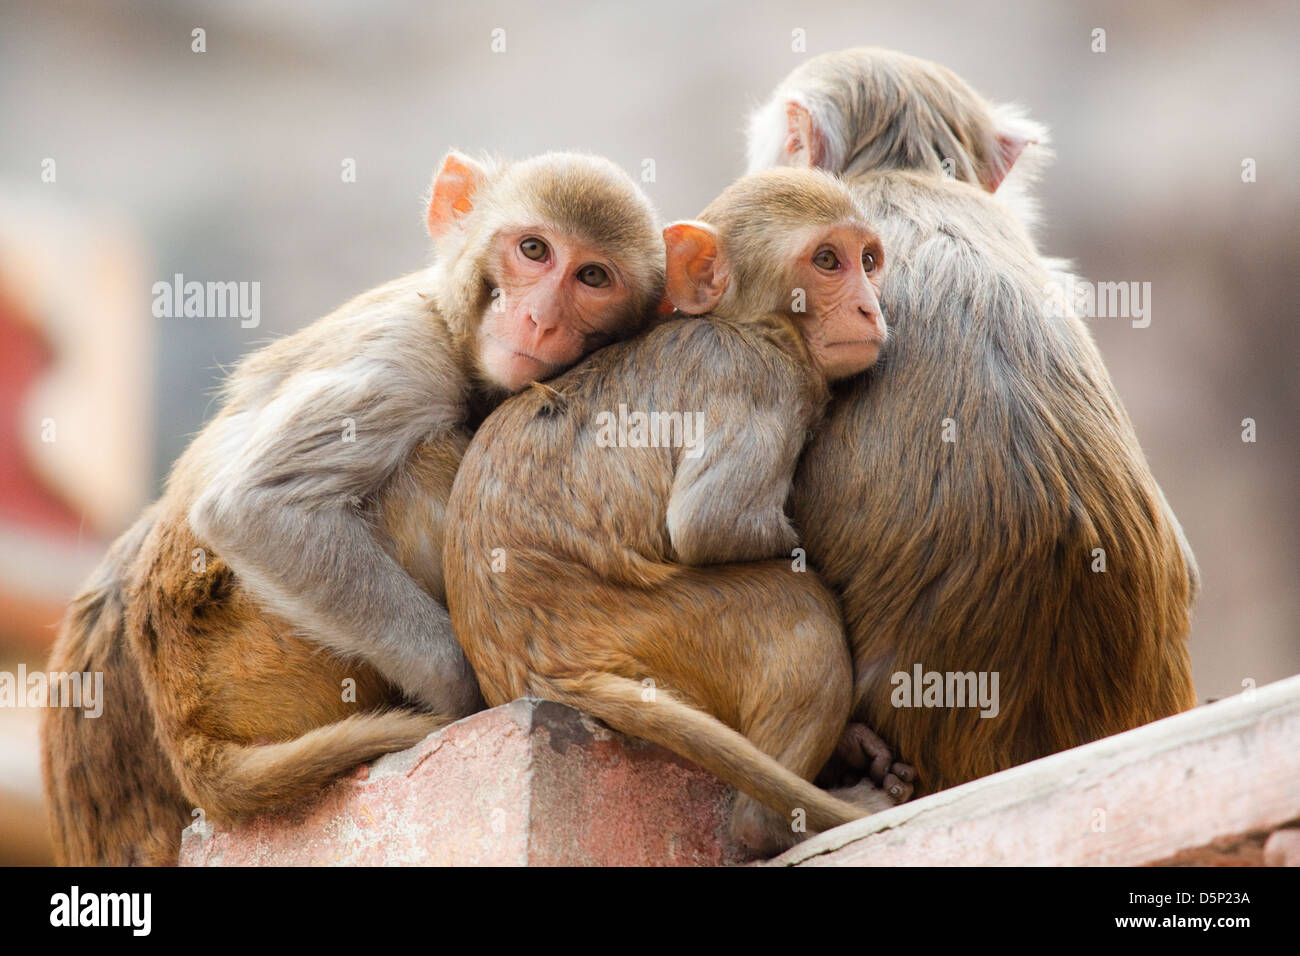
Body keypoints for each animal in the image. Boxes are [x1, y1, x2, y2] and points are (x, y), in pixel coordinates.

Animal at [40, 150, 665, 865]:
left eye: (593, 277)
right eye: (534, 250)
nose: (540, 318)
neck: (451, 327)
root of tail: (187, 735)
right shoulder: (406, 358)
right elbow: (255, 509)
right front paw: (464, 691)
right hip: (260, 657)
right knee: (425, 458)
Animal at [444, 167, 914, 857]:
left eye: (870, 261)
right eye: (828, 261)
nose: (869, 308)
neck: (749, 321)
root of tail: (537, 671)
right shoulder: (764, 379)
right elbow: (711, 525)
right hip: (659, 629)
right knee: (796, 605)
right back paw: (772, 821)